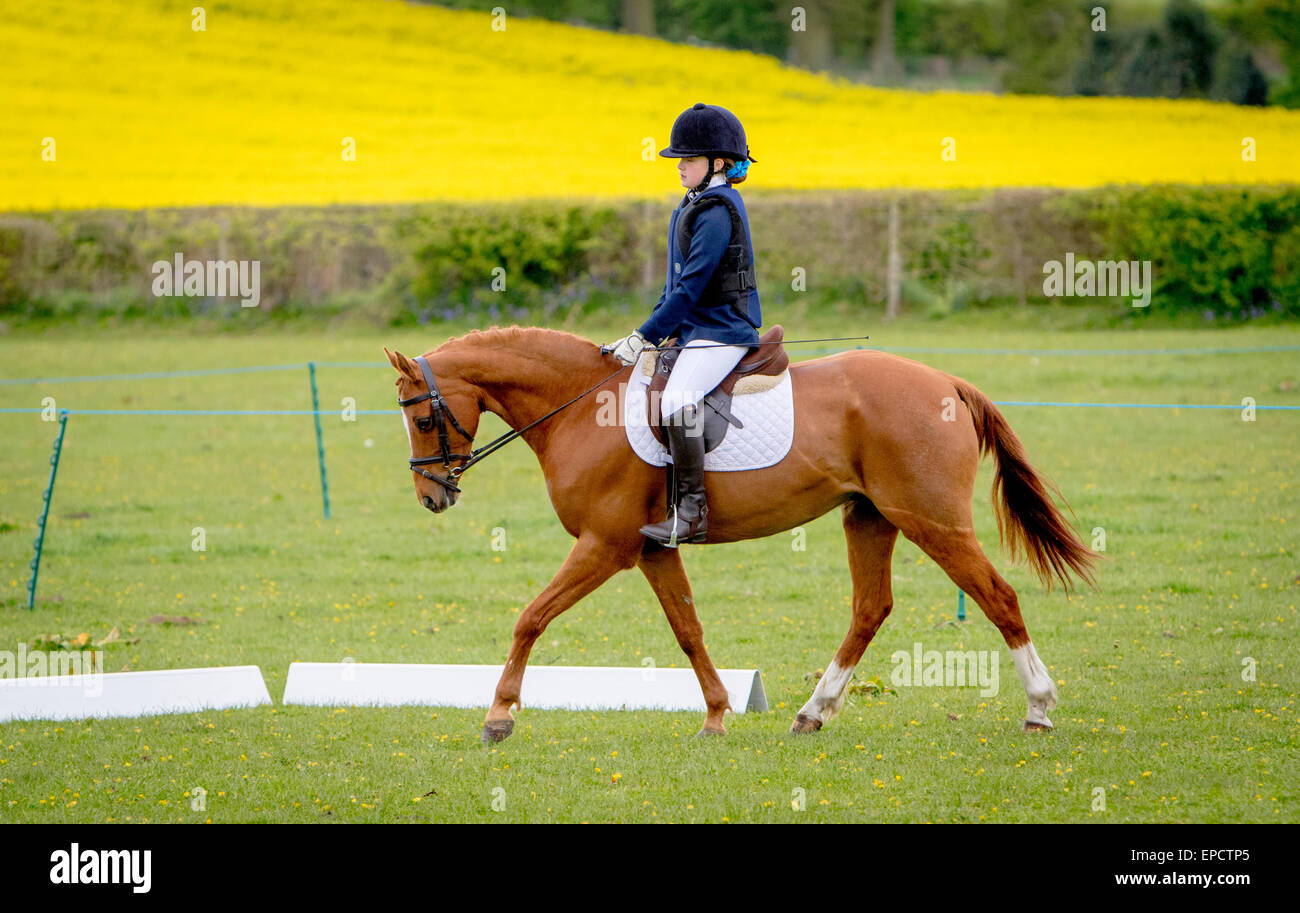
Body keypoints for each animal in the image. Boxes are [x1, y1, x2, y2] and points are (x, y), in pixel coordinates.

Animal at [385, 326, 1097, 743]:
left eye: (420, 417)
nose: (431, 496)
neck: (581, 405)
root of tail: (946, 381)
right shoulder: (650, 547)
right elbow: (689, 630)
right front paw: (717, 714)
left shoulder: (605, 546)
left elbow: (530, 618)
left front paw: (499, 715)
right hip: (869, 517)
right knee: (871, 608)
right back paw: (813, 713)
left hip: (931, 521)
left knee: (998, 598)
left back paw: (1039, 709)